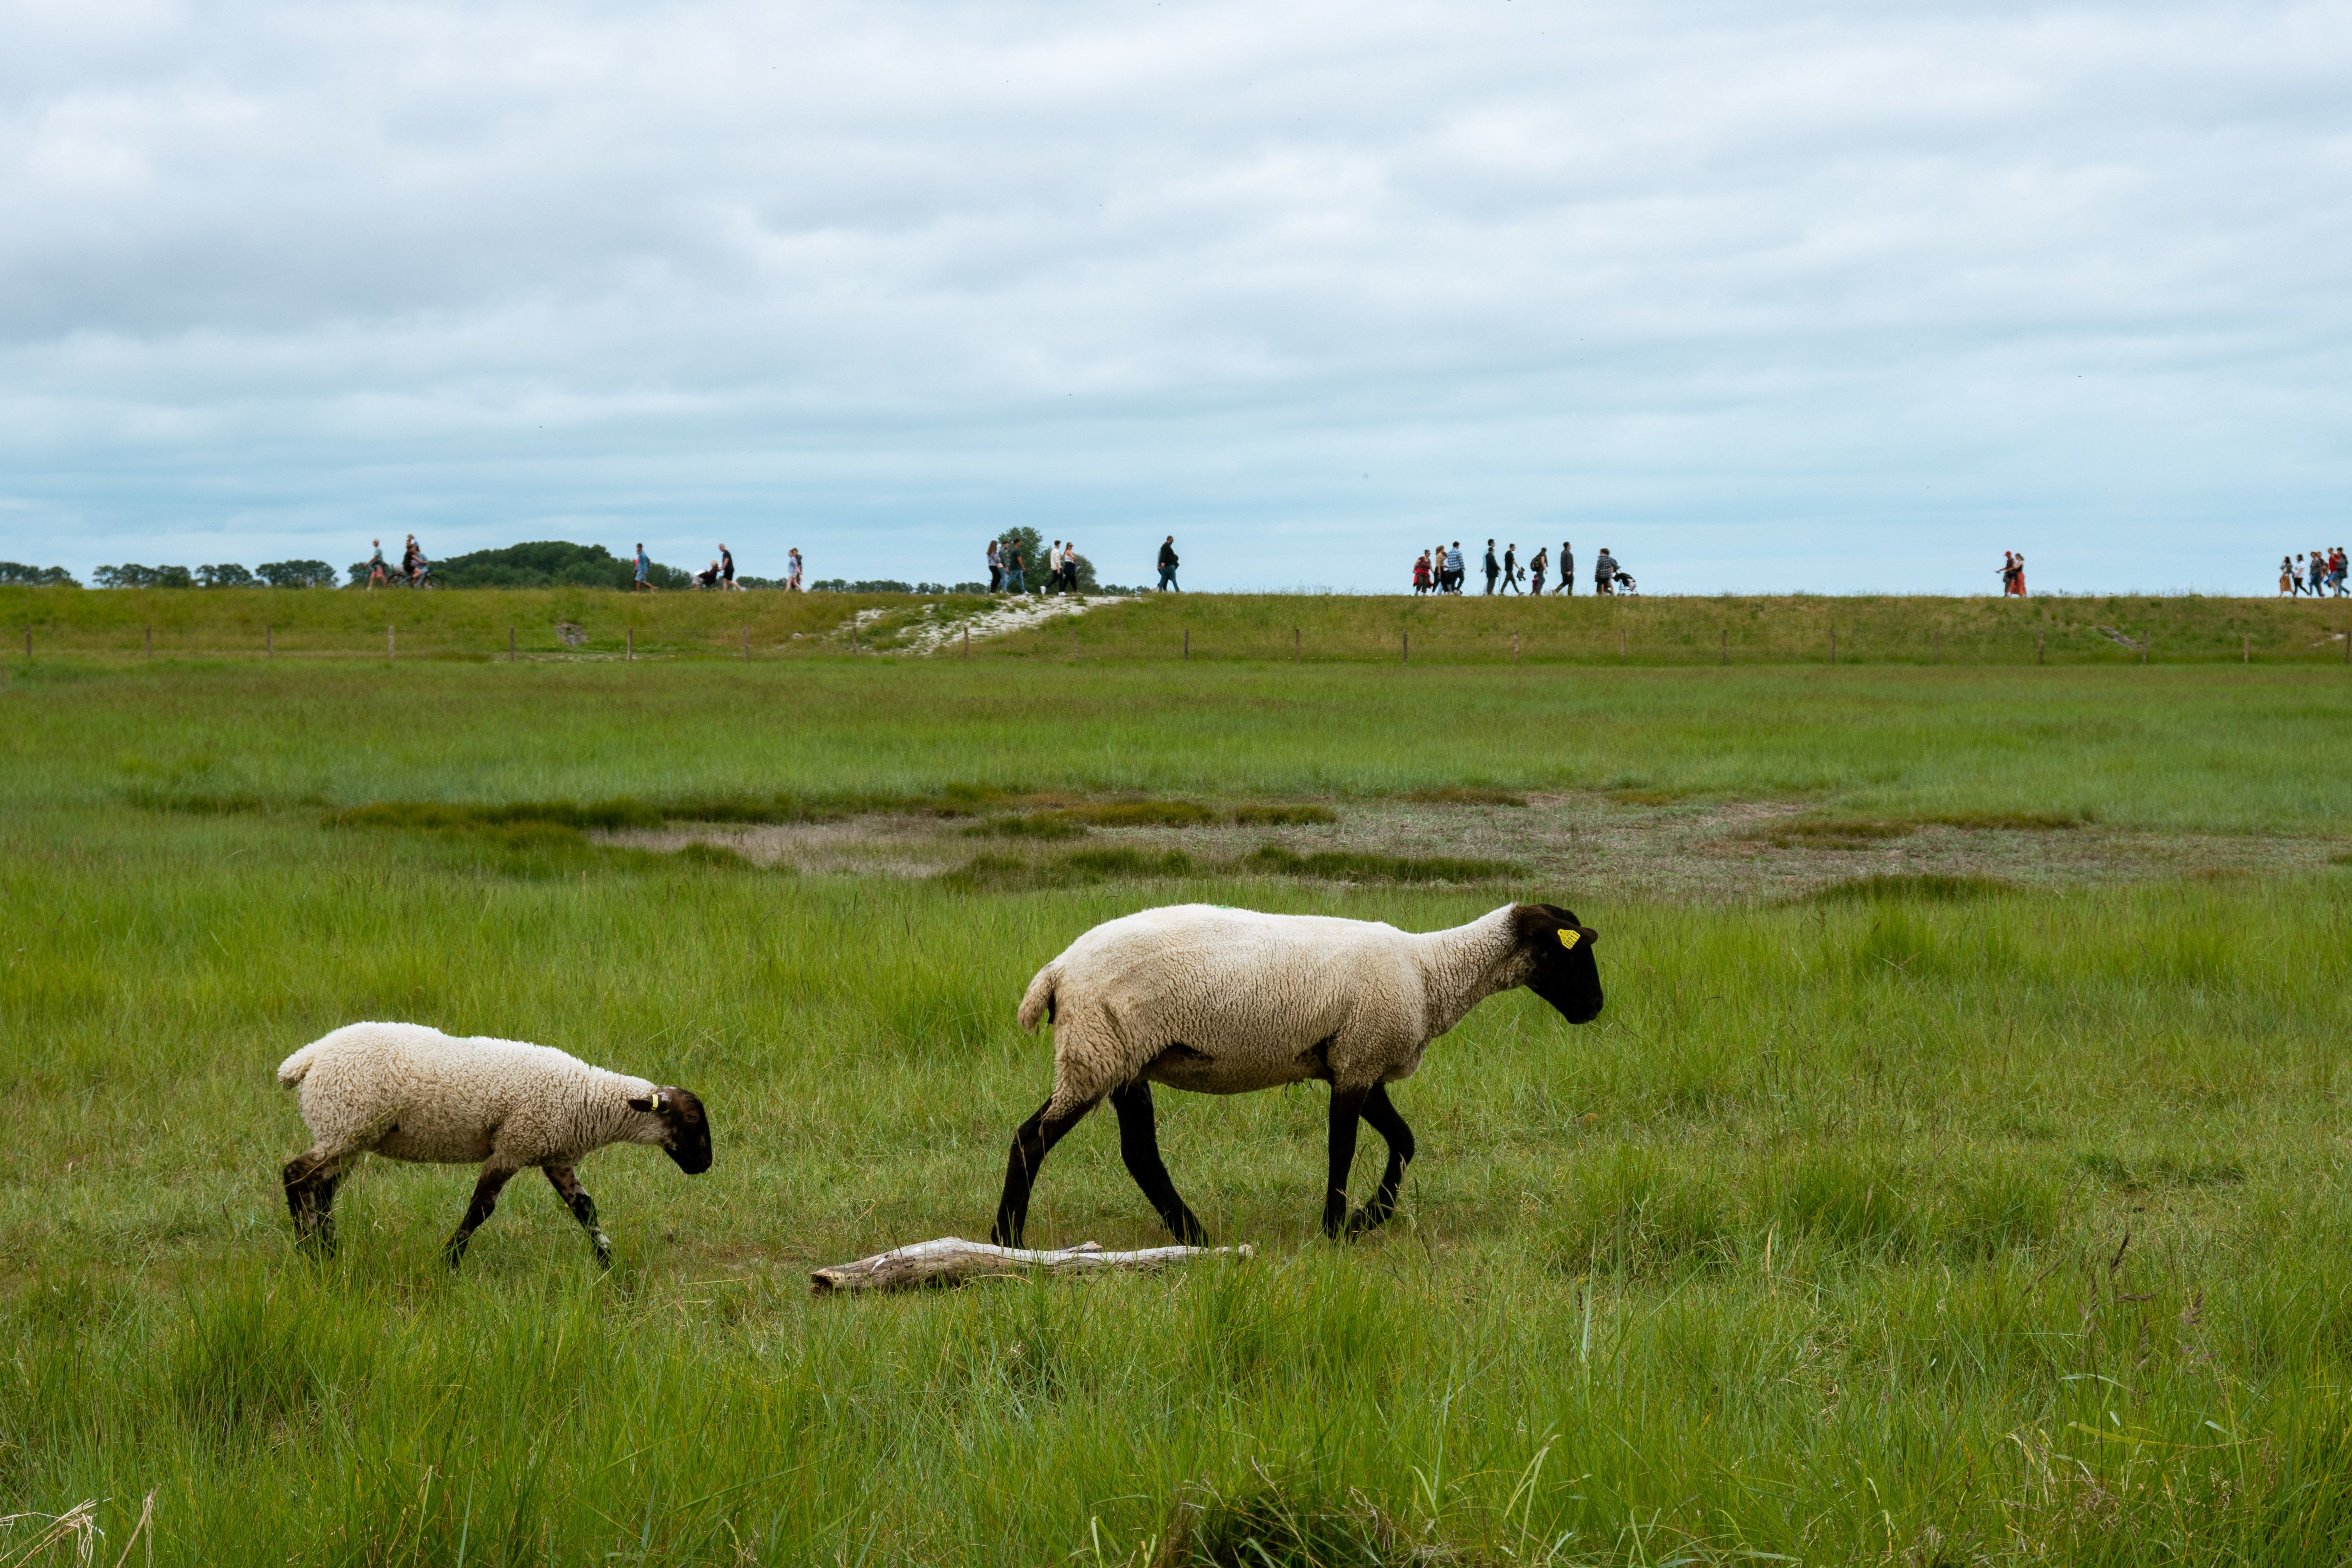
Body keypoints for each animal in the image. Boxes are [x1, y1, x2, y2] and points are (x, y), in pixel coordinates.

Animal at [276, 1022, 712, 1268]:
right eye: (693, 1119)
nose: (706, 1166)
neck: (587, 1099)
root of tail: (307, 1058)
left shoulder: (554, 1156)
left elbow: (586, 1209)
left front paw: (609, 1265)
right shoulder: (513, 1147)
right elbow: (481, 1209)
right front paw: (448, 1263)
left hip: (350, 1135)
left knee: (323, 1188)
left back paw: (329, 1250)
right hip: (346, 1126)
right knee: (296, 1175)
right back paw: (308, 1252)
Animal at [991, 901, 1602, 1248]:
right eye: (1568, 952)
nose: (1596, 1007)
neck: (1430, 972)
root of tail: (1058, 971)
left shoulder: (1358, 1062)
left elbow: (1404, 1141)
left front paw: (1367, 1219)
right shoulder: (1358, 1061)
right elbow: (1342, 1149)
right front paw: (1337, 1228)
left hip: (1120, 1062)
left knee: (1138, 1154)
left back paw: (1194, 1237)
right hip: (1097, 1054)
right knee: (1033, 1139)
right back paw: (1009, 1240)